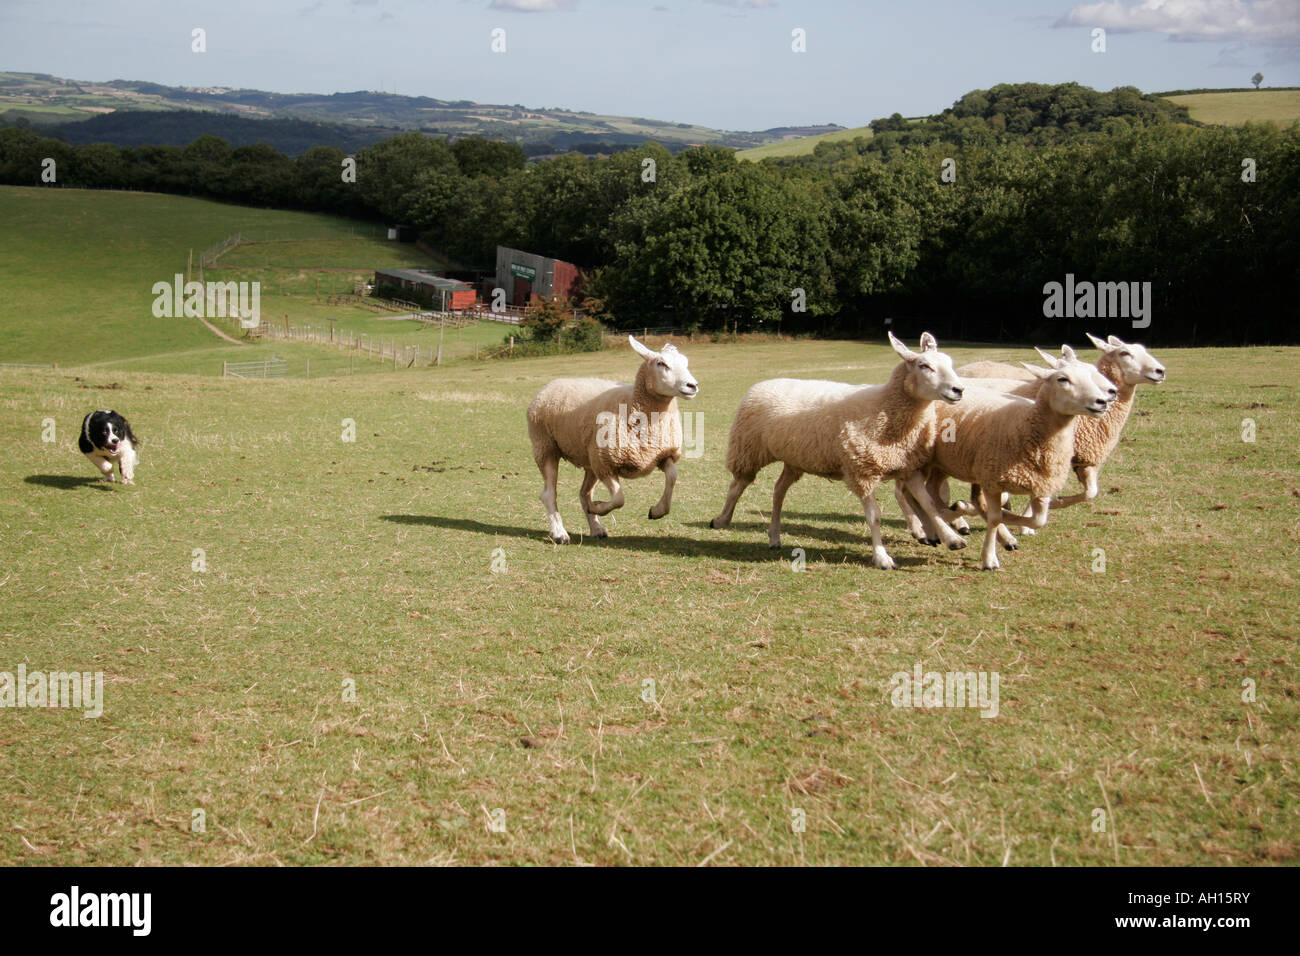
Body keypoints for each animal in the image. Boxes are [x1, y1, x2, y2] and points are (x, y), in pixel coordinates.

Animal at [527, 335, 699, 544]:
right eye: (661, 364)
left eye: (686, 362)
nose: (692, 386)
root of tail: (550, 385)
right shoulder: (606, 464)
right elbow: (619, 498)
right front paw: (599, 506)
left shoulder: (662, 455)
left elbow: (672, 477)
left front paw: (657, 511)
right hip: (546, 447)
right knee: (549, 494)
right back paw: (560, 533)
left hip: (589, 460)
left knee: (584, 493)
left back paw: (596, 527)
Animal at [709, 332, 967, 570]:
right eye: (924, 366)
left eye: (950, 363)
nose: (959, 390)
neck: (884, 406)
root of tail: (762, 383)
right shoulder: (861, 471)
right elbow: (875, 517)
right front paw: (882, 558)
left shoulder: (908, 467)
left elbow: (929, 504)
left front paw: (952, 538)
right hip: (747, 449)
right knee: (737, 485)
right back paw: (722, 519)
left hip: (794, 459)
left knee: (778, 490)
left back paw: (774, 536)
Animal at [896, 346, 1118, 570]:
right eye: (1062, 379)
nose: (1102, 401)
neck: (1028, 424)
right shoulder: (992, 479)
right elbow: (995, 517)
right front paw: (989, 558)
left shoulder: (1040, 484)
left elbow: (1037, 520)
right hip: (923, 459)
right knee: (915, 490)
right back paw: (942, 530)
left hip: (945, 462)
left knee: (929, 491)